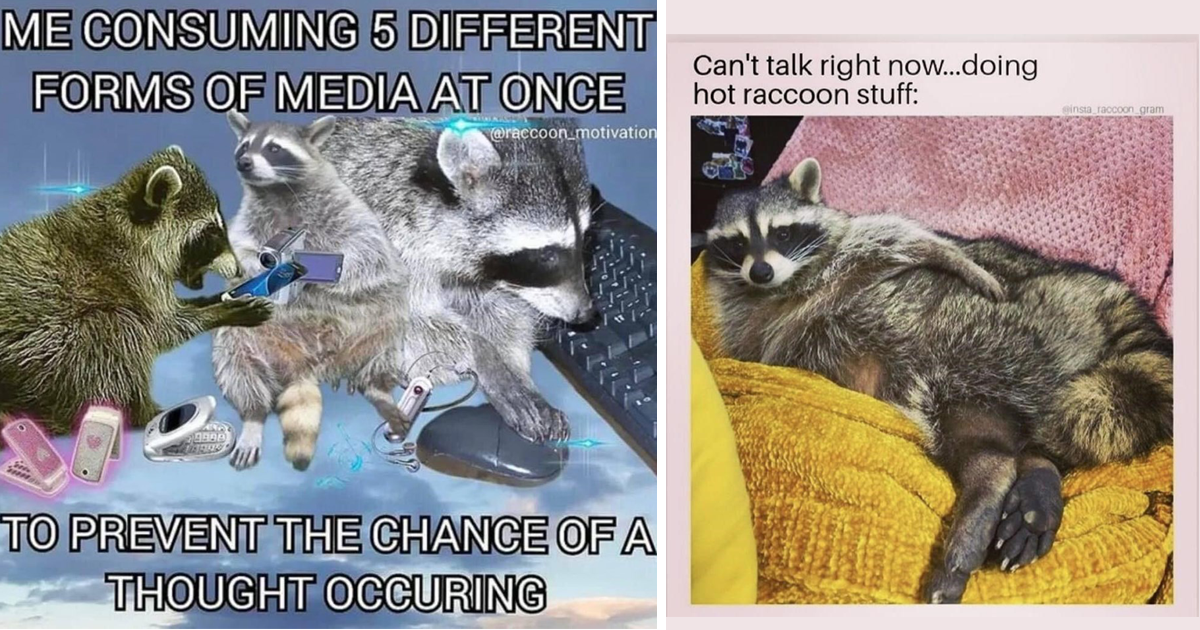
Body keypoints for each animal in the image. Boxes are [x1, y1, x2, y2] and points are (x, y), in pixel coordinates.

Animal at [0, 146, 269, 435]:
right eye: (210, 233)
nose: (239, 270)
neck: (131, 225)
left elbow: (174, 313)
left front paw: (213, 299)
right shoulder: (135, 273)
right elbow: (164, 327)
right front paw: (221, 311)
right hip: (45, 351)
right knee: (115, 329)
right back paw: (142, 413)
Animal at [214, 112, 406, 471]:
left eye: (274, 148)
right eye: (244, 146)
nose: (243, 162)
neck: (277, 190)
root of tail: (308, 364)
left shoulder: (345, 204)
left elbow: (368, 246)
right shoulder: (248, 219)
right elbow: (237, 250)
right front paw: (255, 269)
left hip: (370, 326)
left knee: (390, 318)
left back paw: (376, 386)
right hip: (258, 341)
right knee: (236, 354)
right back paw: (253, 416)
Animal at [317, 117, 597, 444]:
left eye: (586, 239)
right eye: (547, 256)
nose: (587, 313)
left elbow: (503, 314)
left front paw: (513, 367)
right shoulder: (385, 244)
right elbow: (401, 322)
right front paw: (484, 355)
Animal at [705, 158, 1173, 604]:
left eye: (781, 233)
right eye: (737, 242)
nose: (760, 271)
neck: (782, 286)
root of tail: (1098, 296)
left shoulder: (849, 247)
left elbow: (897, 235)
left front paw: (957, 259)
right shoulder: (751, 317)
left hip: (977, 333)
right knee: (991, 445)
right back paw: (1020, 478)